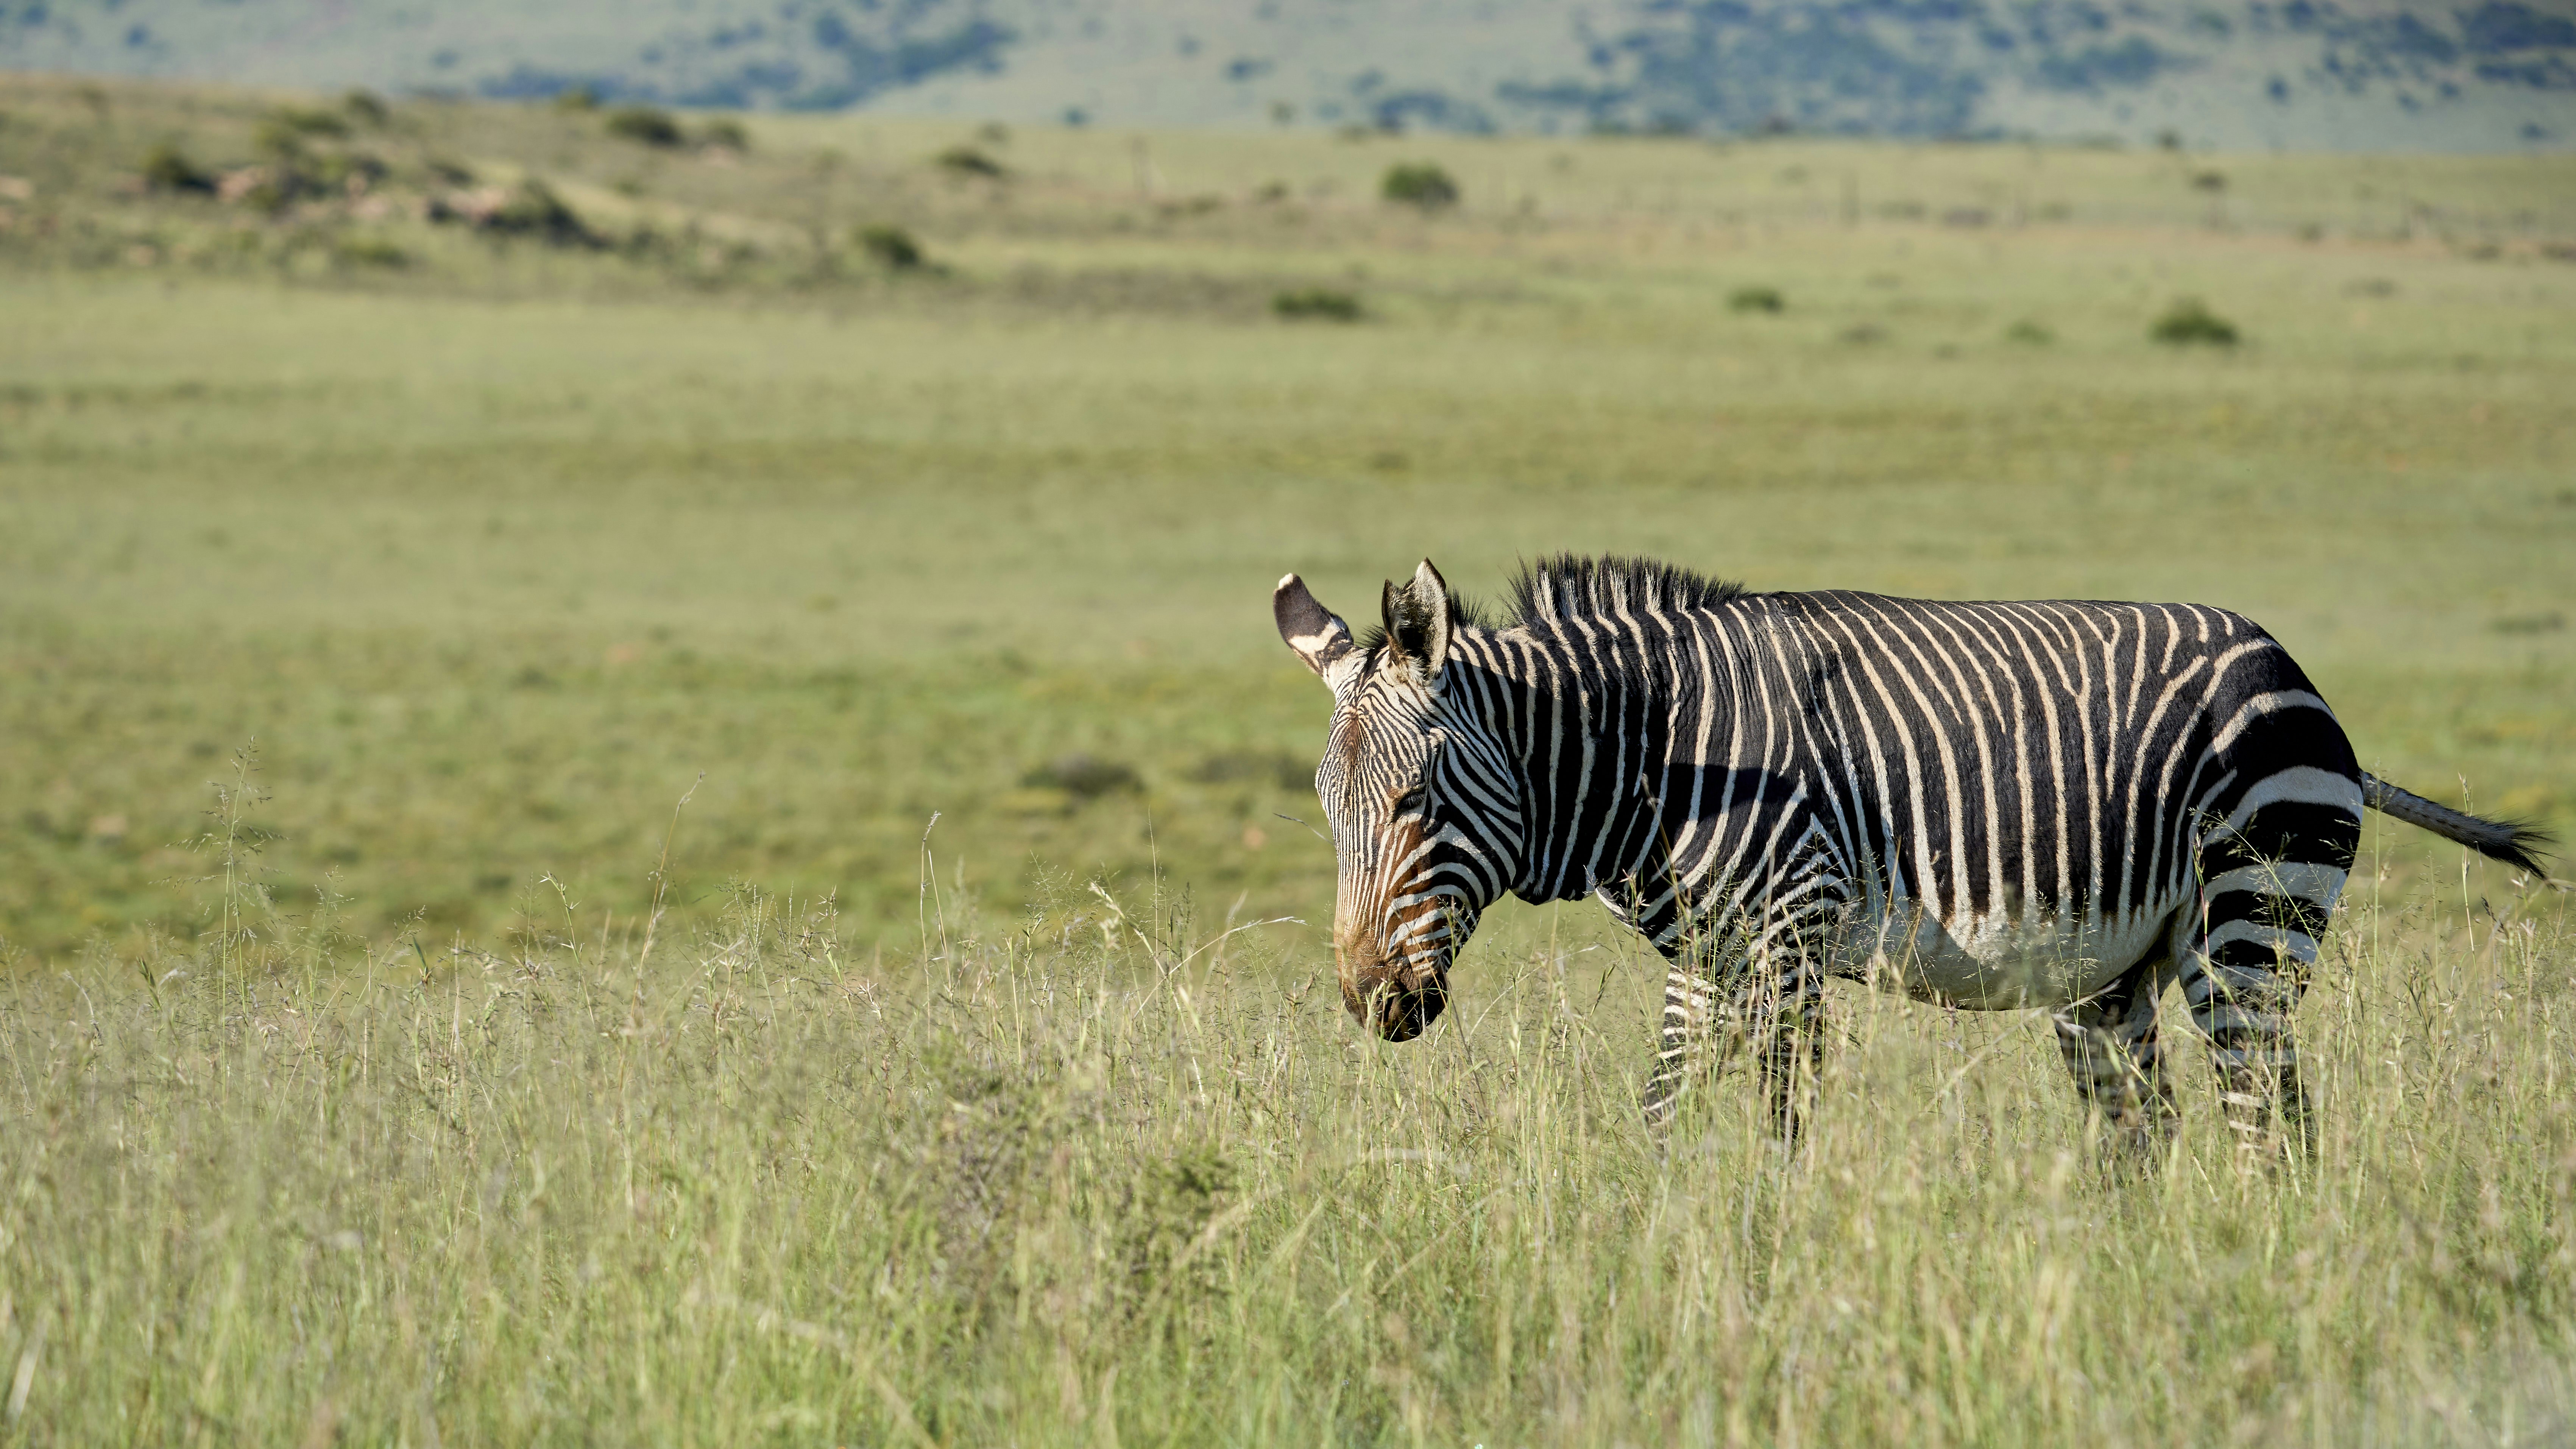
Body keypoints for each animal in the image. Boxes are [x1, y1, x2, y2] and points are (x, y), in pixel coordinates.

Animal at [1273, 554, 2549, 1158]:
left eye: (1417, 799)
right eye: (1328, 811)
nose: (1374, 1003)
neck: (1658, 750)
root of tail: (2297, 674)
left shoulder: (1786, 935)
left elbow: (1780, 1124)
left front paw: (1764, 1266)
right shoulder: (1703, 958)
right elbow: (1663, 1115)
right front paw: (1661, 1248)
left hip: (2248, 914)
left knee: (2269, 1116)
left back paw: (2254, 1257)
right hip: (2108, 974)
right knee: (2147, 1132)